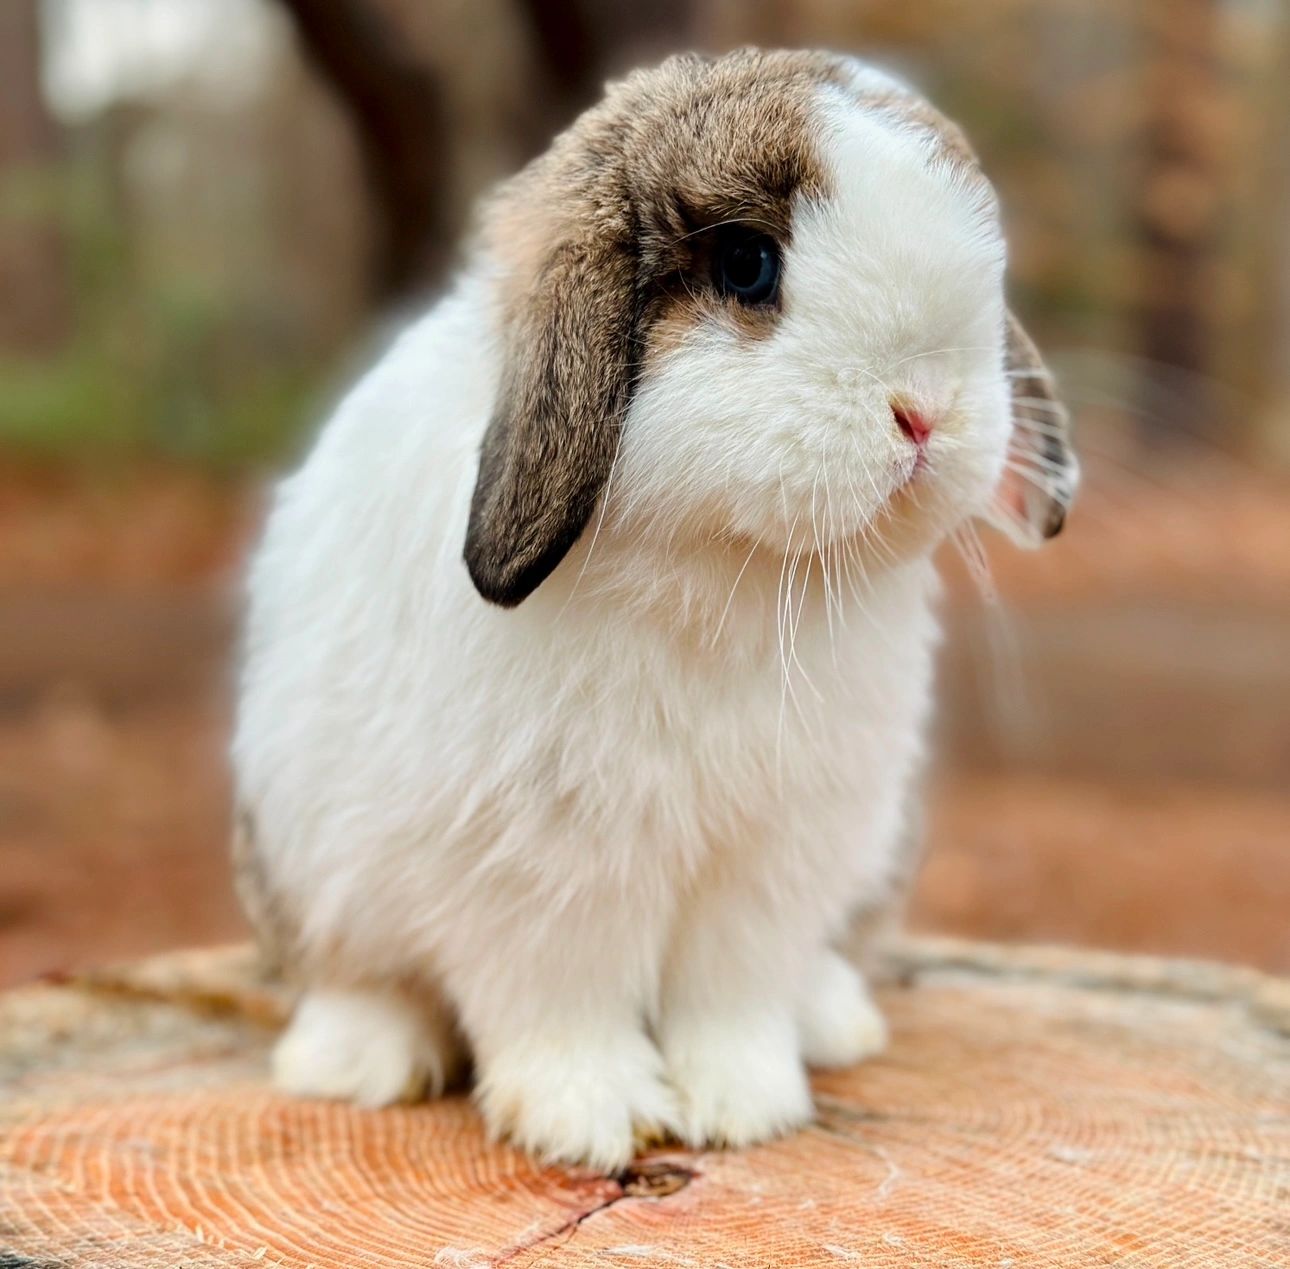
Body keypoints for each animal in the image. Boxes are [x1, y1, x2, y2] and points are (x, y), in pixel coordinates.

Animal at [232, 48, 1077, 1170]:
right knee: (355, 977)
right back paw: (364, 1062)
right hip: (303, 858)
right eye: (749, 264)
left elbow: (732, 994)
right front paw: (600, 1120)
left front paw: (747, 1108)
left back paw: (835, 1024)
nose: (926, 412)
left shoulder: (769, 865)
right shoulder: (541, 872)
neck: (730, 566)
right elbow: (564, 1001)